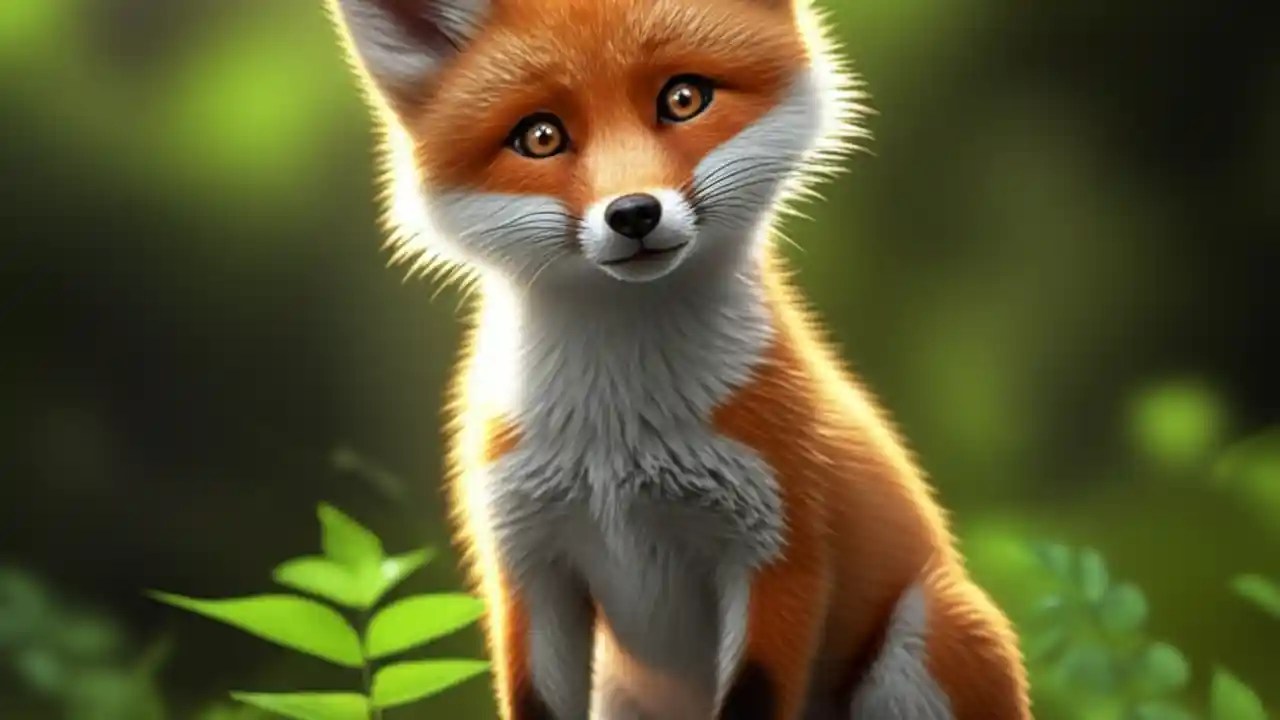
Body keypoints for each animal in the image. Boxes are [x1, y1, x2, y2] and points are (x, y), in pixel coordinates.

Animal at [324, 0, 1031, 718]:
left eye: (683, 98)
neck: (616, 432)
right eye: (540, 136)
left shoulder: (779, 551)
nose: (634, 213)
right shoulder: (527, 564)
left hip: (921, 644)